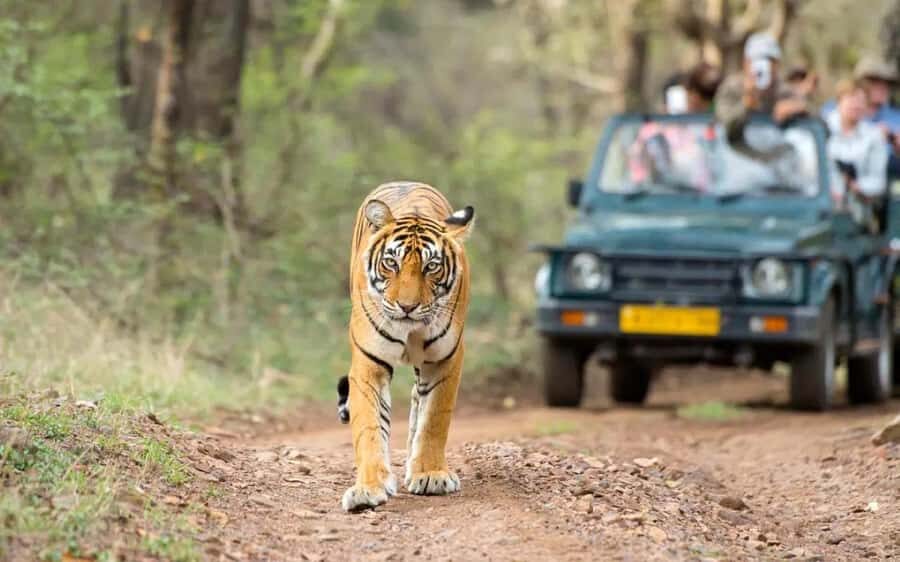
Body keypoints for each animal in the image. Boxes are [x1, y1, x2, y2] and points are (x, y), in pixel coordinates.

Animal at [337, 181, 474, 512]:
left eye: (432, 266)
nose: (407, 307)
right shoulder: (368, 363)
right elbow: (369, 426)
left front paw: (430, 474)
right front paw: (368, 488)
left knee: (417, 402)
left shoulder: (445, 360)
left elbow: (434, 418)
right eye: (391, 262)